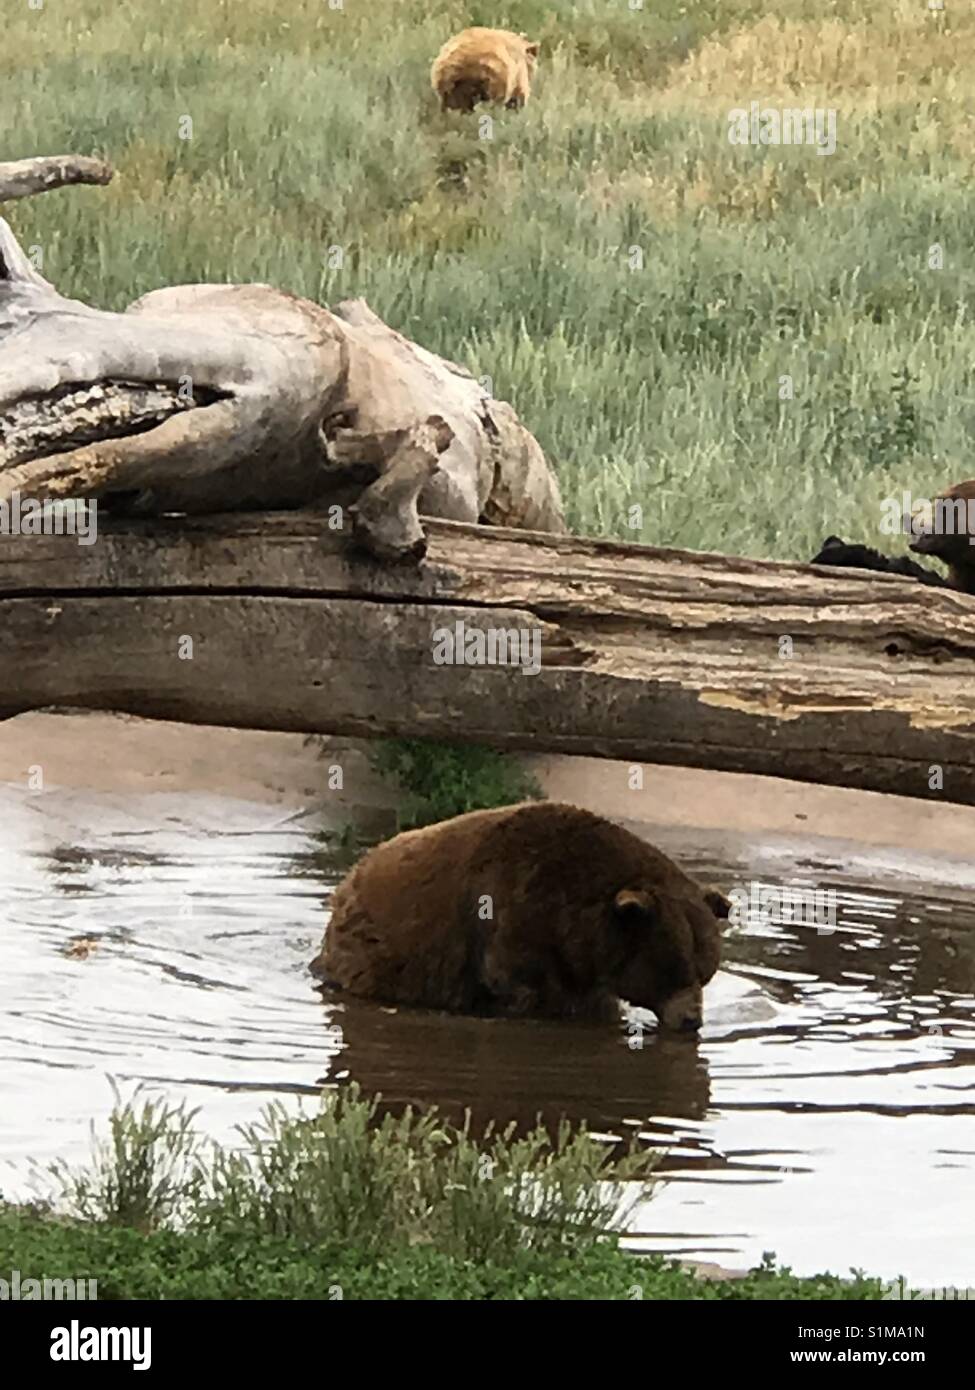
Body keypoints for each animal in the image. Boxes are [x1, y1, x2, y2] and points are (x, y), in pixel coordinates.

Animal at [309, 801, 729, 1030]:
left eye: (705, 972)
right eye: (673, 968)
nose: (692, 1020)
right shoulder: (512, 916)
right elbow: (518, 988)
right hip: (376, 958)